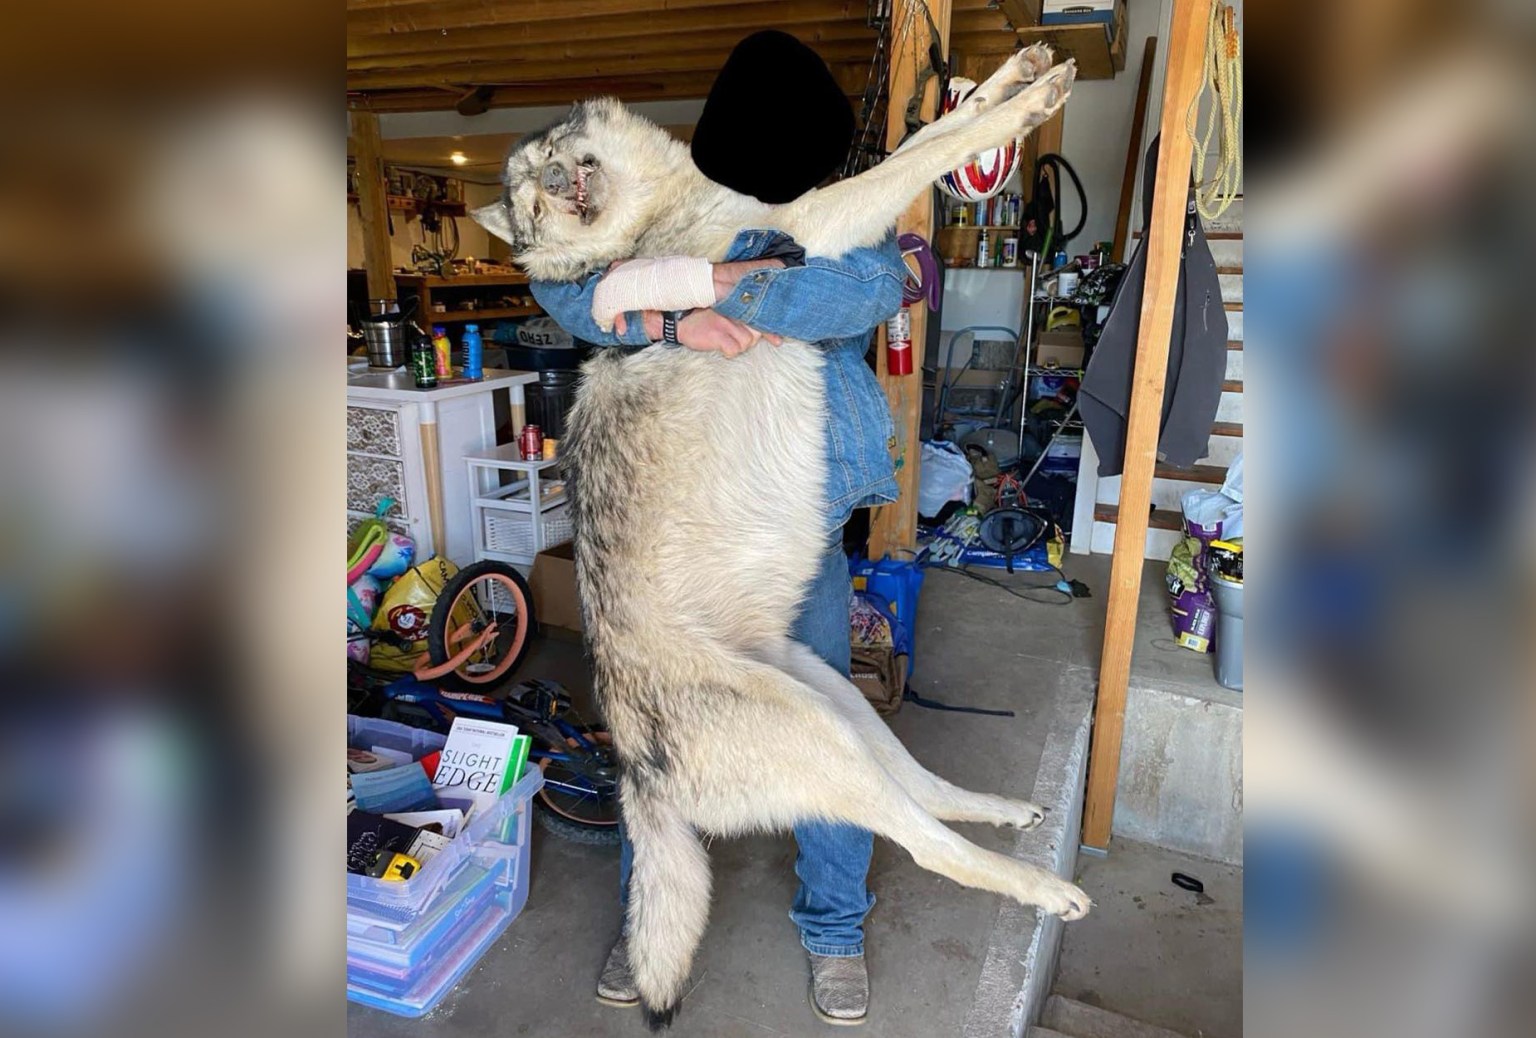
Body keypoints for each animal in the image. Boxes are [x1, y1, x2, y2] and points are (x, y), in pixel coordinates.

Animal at [474, 45, 1087, 1027]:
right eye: (529, 193)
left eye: (554, 159)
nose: (557, 186)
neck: (650, 228)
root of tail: (635, 773)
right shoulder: (808, 225)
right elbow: (912, 159)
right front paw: (1019, 110)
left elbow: (929, 132)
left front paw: (1014, 78)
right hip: (823, 733)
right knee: (922, 844)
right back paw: (1045, 890)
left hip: (838, 703)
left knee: (921, 792)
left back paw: (1001, 810)